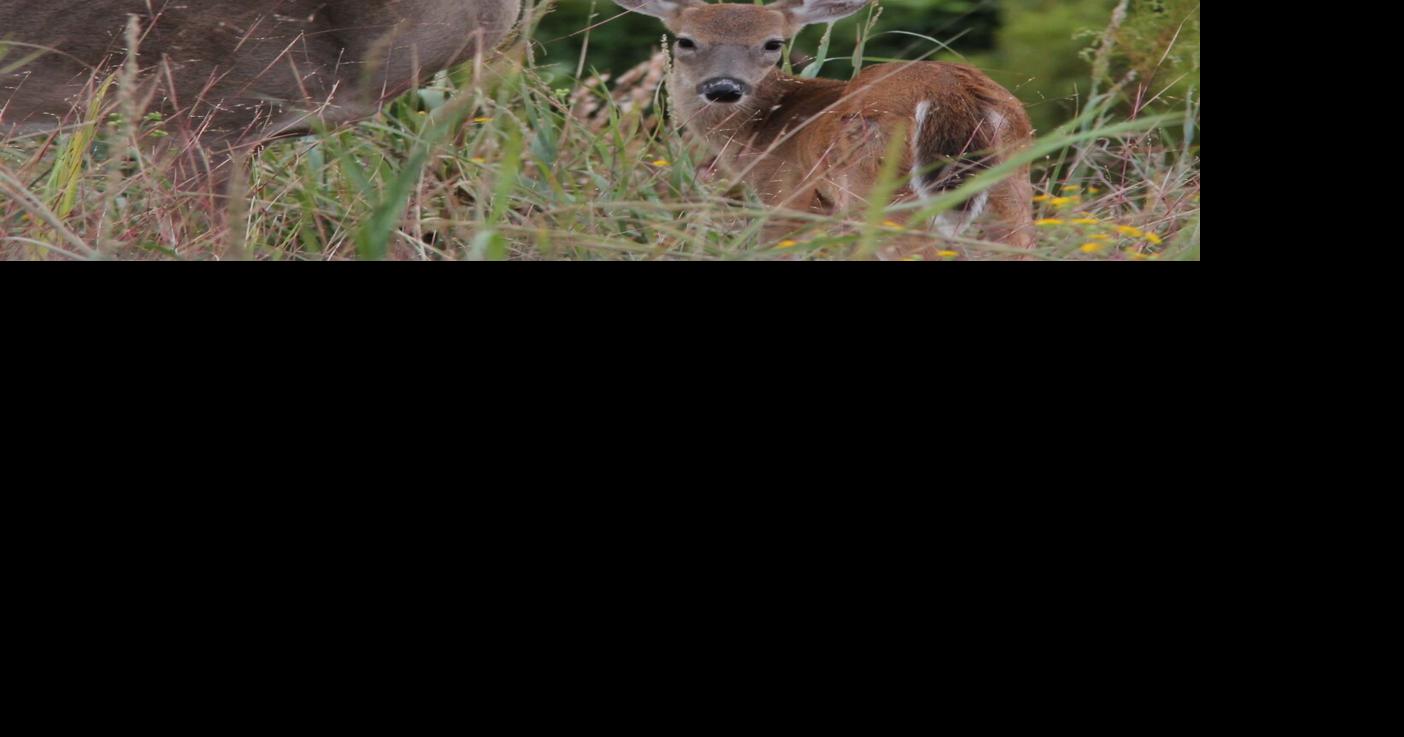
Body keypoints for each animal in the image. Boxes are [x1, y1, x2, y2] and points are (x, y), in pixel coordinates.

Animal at [615, 0, 1035, 255]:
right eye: (686, 41)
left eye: (773, 44)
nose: (723, 88)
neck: (761, 130)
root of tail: (950, 91)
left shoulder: (786, 192)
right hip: (1011, 186)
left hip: (877, 186)